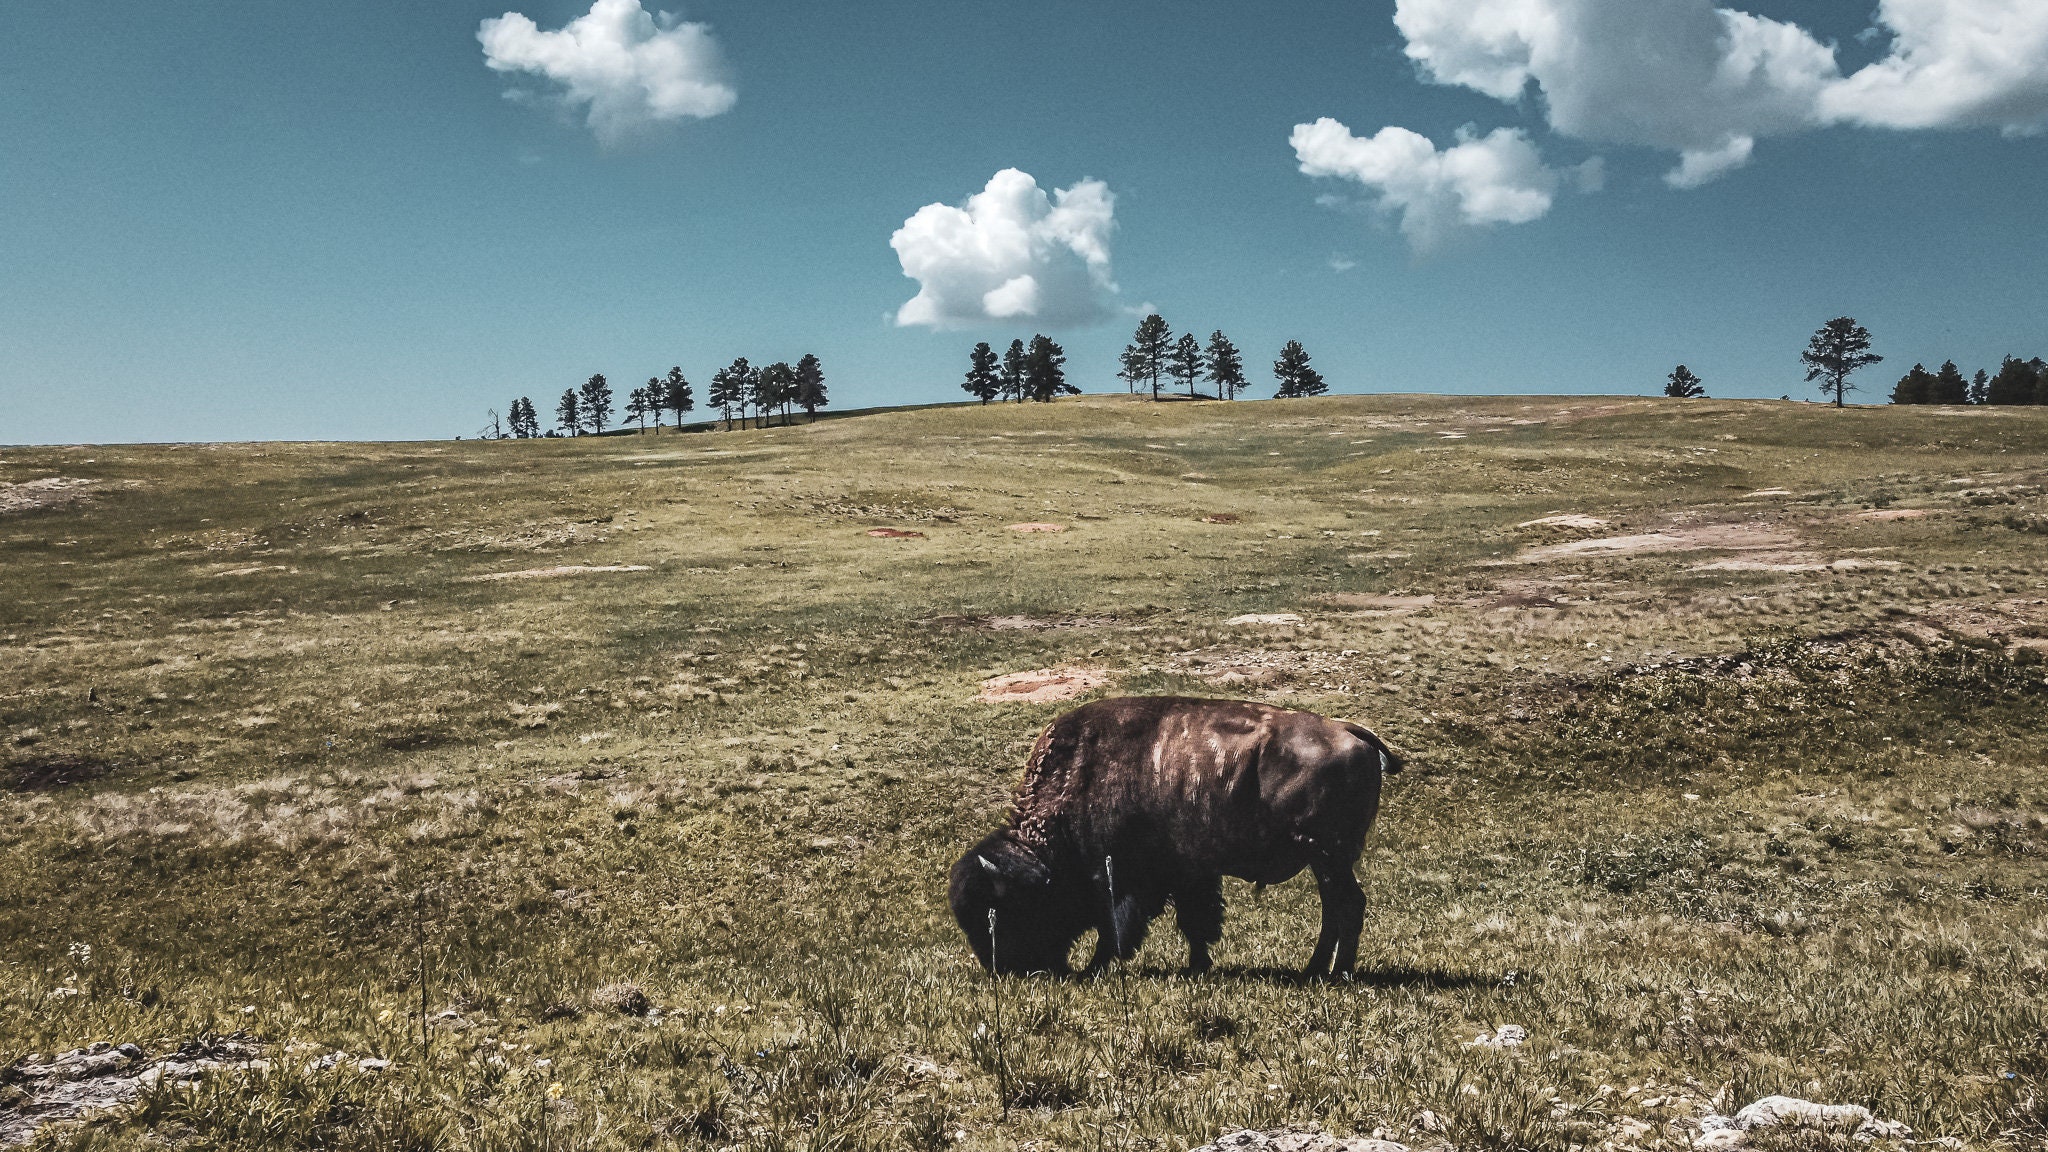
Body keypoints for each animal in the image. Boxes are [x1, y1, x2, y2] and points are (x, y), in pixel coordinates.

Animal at [949, 696, 1401, 978]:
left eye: (1004, 910)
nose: (1003, 968)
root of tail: (1351, 731)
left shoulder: (1121, 881)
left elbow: (1116, 929)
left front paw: (1094, 969)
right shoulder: (1188, 876)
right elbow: (1195, 922)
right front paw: (1198, 965)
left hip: (1328, 857)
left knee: (1348, 906)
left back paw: (1337, 973)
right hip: (1324, 862)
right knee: (1335, 909)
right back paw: (1316, 969)